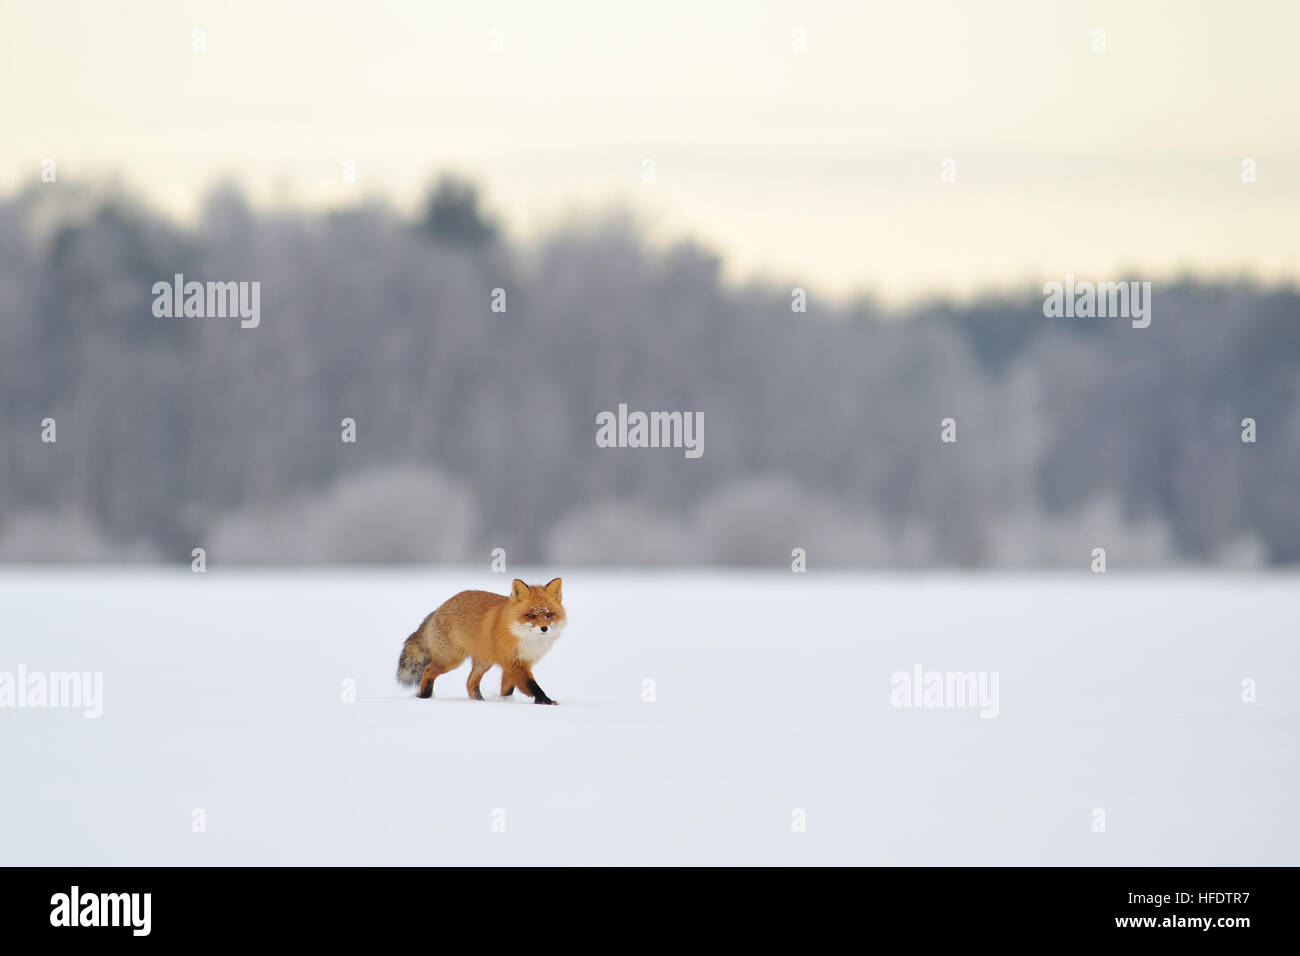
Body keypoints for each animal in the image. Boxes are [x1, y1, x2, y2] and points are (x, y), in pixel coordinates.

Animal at [396, 577, 565, 704]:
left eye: (549, 615)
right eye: (531, 615)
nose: (544, 628)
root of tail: (438, 609)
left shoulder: (517, 663)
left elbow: (508, 689)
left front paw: (506, 701)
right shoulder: (514, 663)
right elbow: (532, 686)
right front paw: (546, 701)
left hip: (483, 663)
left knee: (470, 683)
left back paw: (479, 701)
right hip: (451, 661)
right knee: (428, 670)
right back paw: (424, 696)